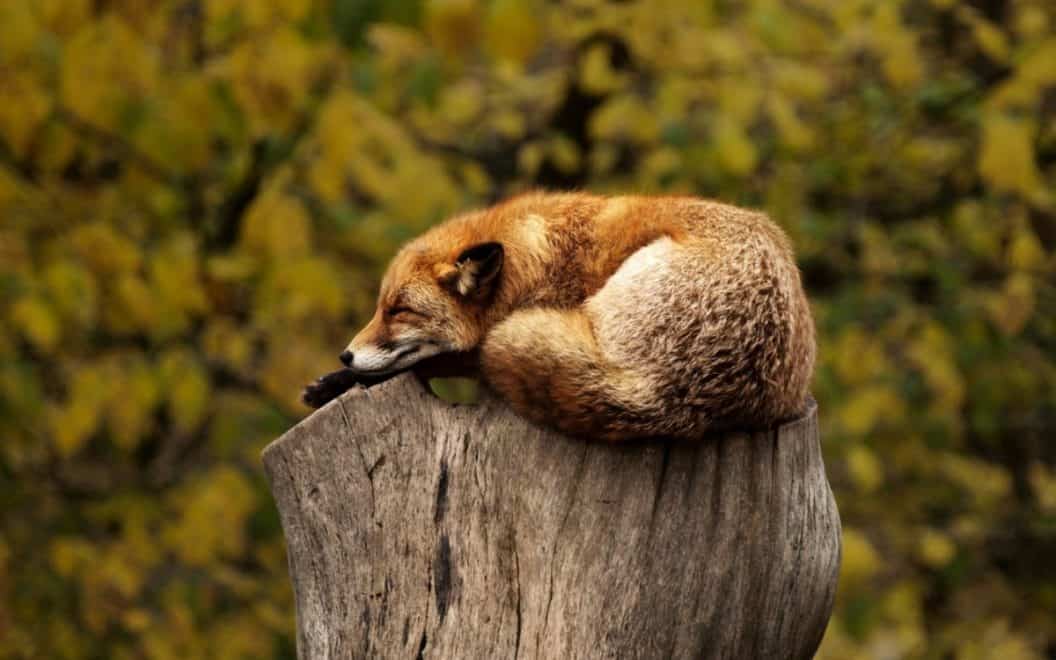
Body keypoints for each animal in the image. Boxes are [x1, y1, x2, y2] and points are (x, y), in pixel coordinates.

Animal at [303, 191, 815, 441]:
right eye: (379, 307)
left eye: (399, 311)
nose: (346, 354)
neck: (534, 262)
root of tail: (671, 396)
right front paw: (334, 381)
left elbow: (443, 360)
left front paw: (342, 380)